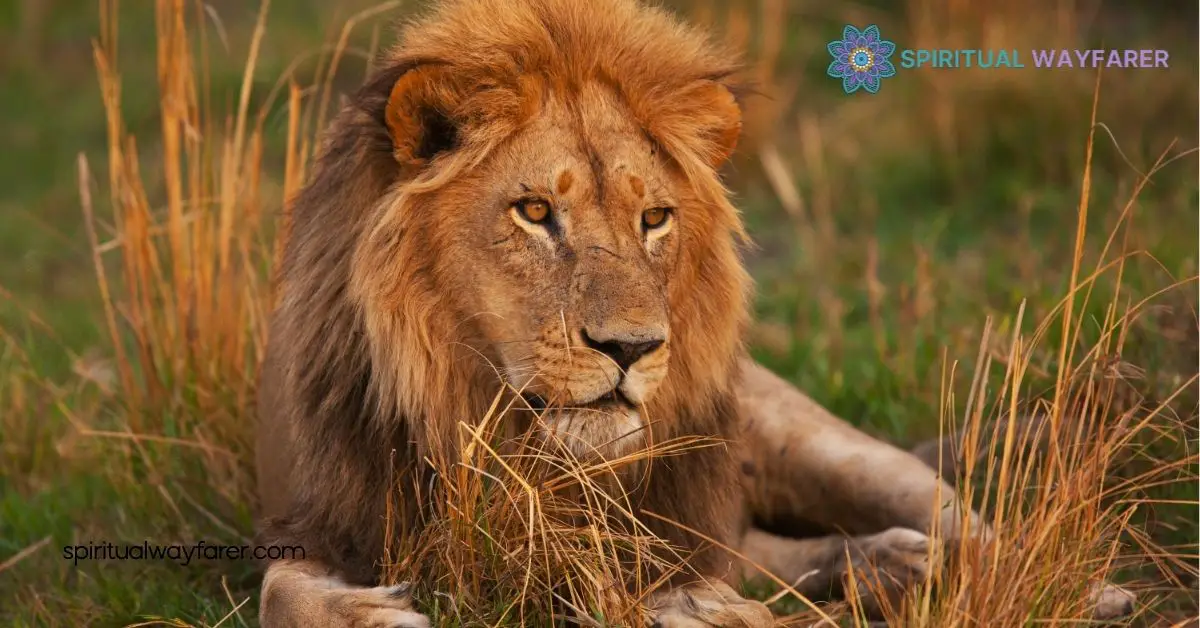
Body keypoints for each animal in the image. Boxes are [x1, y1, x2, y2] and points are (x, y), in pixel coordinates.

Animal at [253, 0, 1136, 625]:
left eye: (654, 219)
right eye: (534, 212)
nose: (632, 348)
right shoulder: (330, 514)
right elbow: (277, 589)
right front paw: (368, 613)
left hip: (824, 446)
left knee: (965, 522)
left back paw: (1059, 587)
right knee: (772, 552)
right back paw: (894, 570)